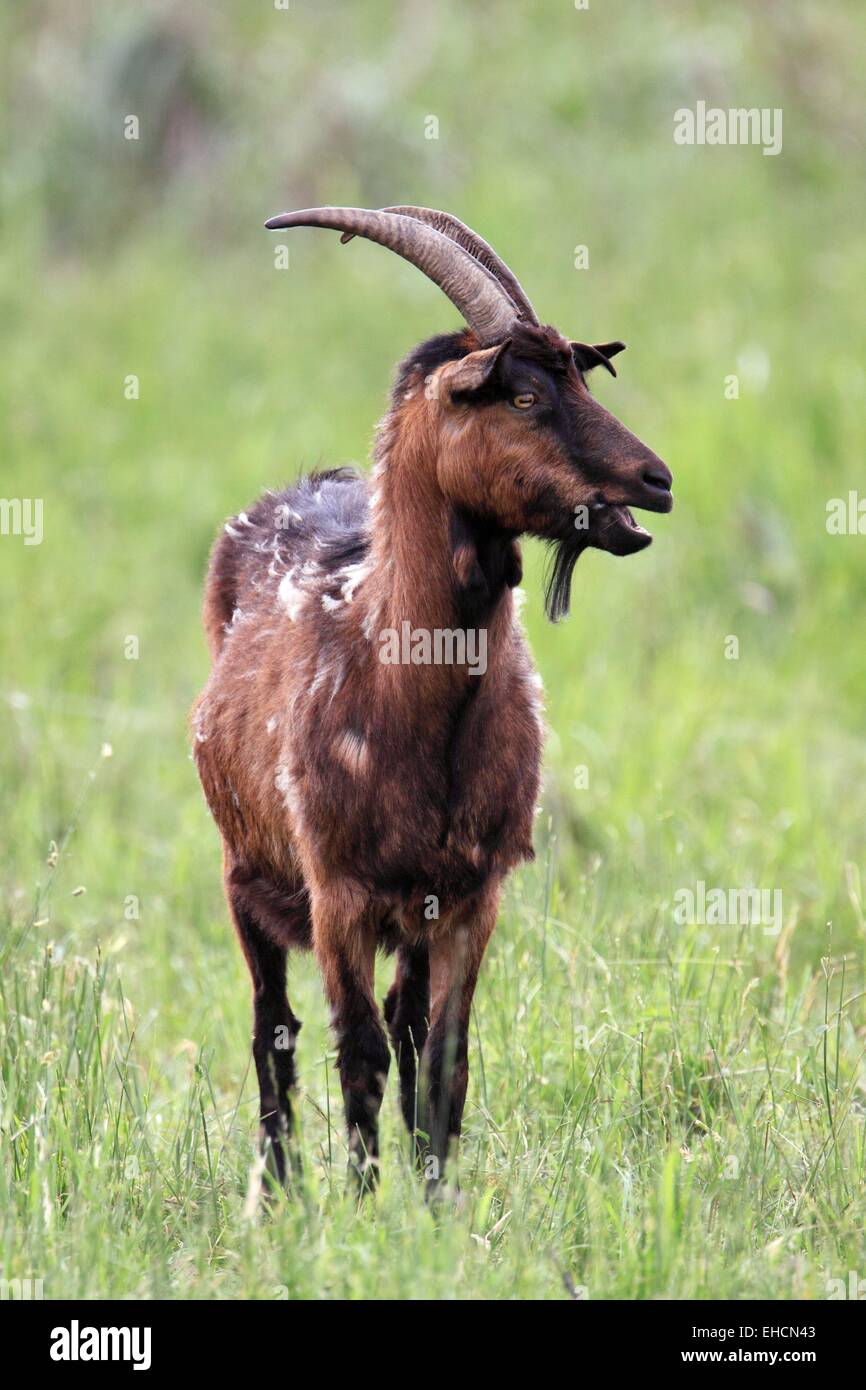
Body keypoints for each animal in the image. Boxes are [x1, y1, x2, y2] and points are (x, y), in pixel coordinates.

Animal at [192, 206, 673, 1189]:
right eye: (521, 397)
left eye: (577, 375)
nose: (657, 480)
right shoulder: (336, 891)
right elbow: (358, 1050)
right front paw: (364, 1203)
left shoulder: (469, 895)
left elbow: (442, 1051)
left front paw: (435, 1199)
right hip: (243, 871)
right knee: (275, 1027)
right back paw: (279, 1189)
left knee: (401, 1023)